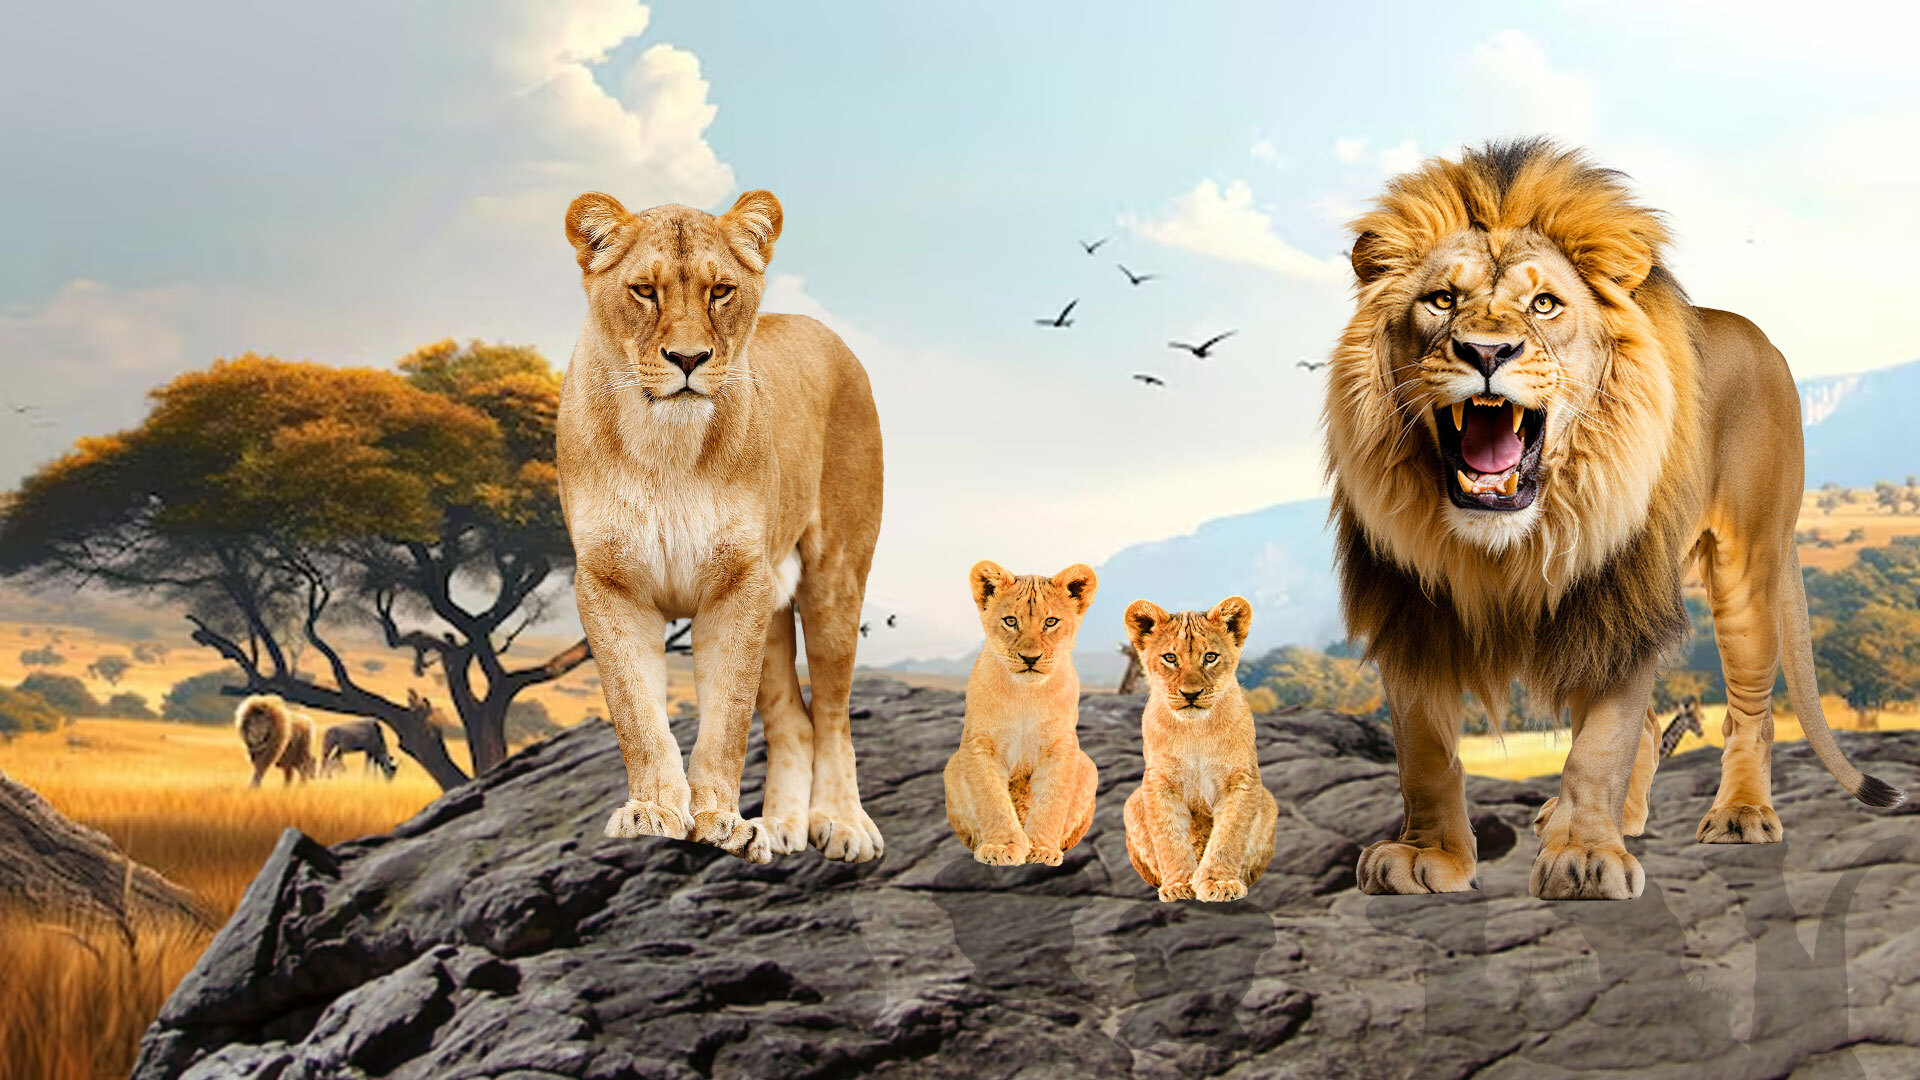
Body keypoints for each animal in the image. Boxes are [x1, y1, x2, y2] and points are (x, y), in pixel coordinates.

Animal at [556, 188, 884, 864]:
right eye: (644, 291)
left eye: (721, 291)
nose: (688, 359)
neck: (665, 448)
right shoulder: (609, 583)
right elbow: (637, 713)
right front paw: (654, 812)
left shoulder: (737, 584)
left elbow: (727, 720)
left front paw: (719, 822)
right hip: (774, 598)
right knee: (794, 720)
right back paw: (781, 825)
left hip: (834, 577)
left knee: (833, 713)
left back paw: (841, 823)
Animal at [943, 561, 1100, 866]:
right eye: (1010, 621)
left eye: (1050, 622)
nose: (1030, 658)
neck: (1025, 695)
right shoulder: (979, 744)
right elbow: (991, 799)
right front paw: (1001, 847)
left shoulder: (1061, 745)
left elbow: (1052, 801)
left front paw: (1041, 849)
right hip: (952, 765)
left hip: (1088, 766)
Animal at [1120, 597, 1278, 902]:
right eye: (1170, 658)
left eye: (1210, 657)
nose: (1190, 694)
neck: (1196, 731)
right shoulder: (1159, 782)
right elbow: (1169, 836)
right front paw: (1179, 884)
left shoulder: (1242, 780)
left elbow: (1229, 835)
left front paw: (1219, 882)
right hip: (1132, 802)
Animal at [1324, 138, 1901, 901]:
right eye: (1442, 300)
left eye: (1544, 305)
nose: (1486, 353)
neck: (1508, 540)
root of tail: (1762, 340)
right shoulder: (1409, 606)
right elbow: (1424, 753)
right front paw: (1428, 856)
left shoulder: (1619, 595)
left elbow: (1599, 744)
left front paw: (1585, 859)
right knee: (1656, 721)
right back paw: (1616, 818)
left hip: (1746, 568)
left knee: (1750, 708)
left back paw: (1741, 814)